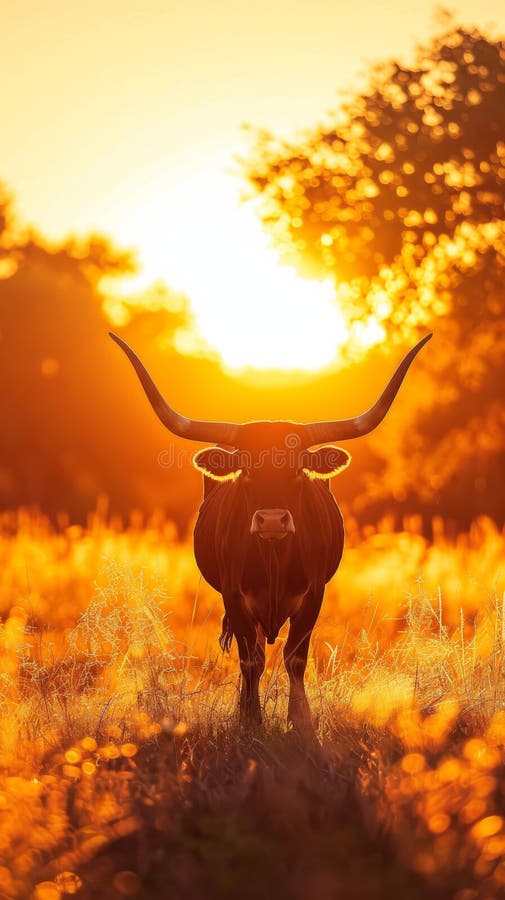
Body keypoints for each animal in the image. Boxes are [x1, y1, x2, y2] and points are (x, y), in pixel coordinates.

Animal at [110, 331, 431, 735]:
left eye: (297, 470)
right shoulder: (235, 596)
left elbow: (295, 659)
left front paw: (301, 722)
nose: (273, 521)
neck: (274, 560)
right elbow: (251, 662)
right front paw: (250, 721)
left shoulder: (313, 596)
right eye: (246, 469)